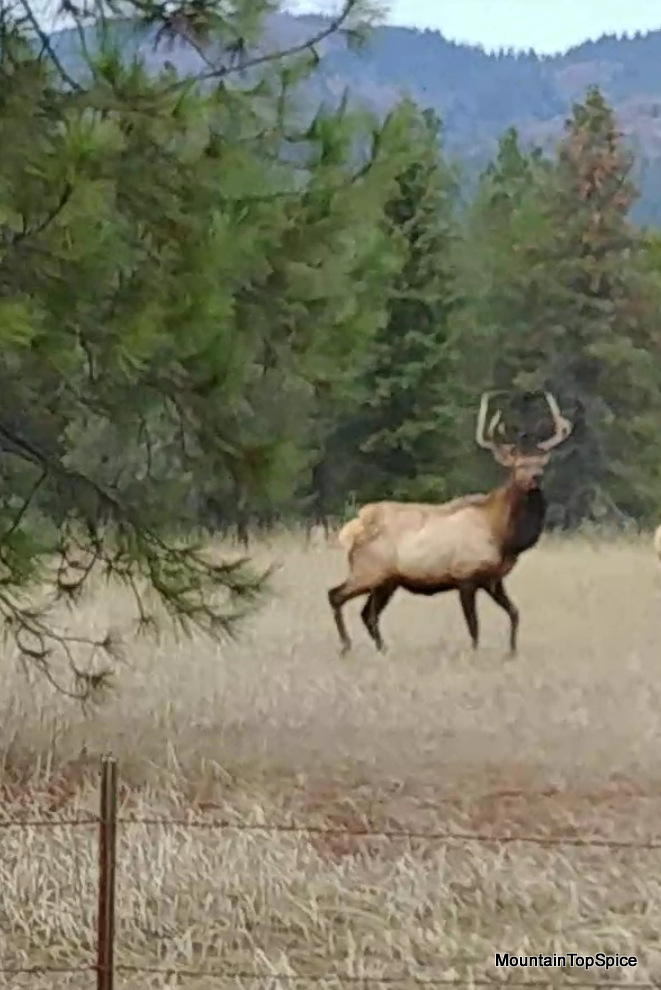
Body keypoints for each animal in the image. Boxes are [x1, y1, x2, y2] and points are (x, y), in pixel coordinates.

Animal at [327, 390, 573, 656]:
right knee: (336, 595)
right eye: (518, 466)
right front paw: (475, 654)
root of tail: (353, 528)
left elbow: (514, 613)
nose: (535, 477)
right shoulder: (465, 575)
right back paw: (346, 645)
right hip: (369, 569)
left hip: (386, 581)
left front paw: (511, 652)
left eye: (541, 463)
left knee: (367, 614)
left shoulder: (493, 579)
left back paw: (382, 649)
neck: (504, 537)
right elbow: (474, 626)